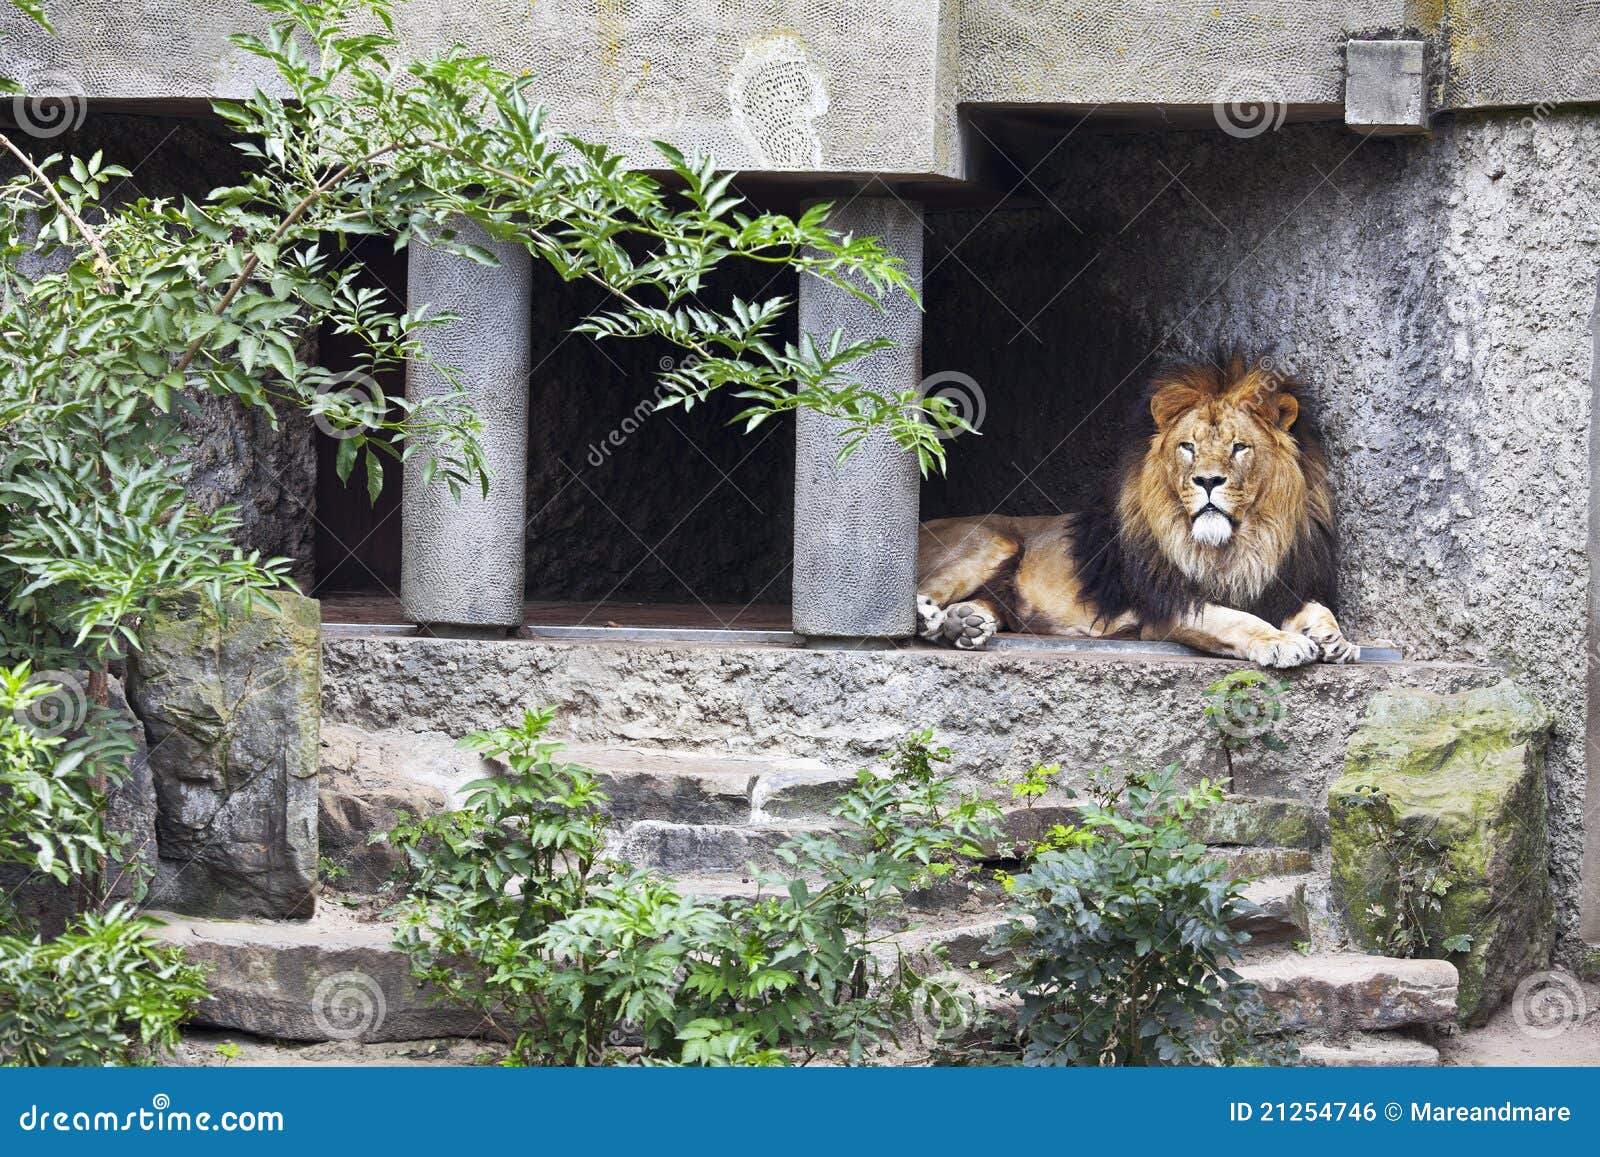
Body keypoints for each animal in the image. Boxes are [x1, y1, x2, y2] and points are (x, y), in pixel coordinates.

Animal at [915, 354, 1354, 667]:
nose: (1207, 481)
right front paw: (1282, 642)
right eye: (1188, 447)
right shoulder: (1168, 608)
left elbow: (1317, 607)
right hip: (995, 539)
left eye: (1239, 447)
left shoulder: (1278, 589)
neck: (1239, 546)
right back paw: (926, 617)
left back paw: (966, 623)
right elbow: (1236, 620)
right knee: (923, 589)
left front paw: (1335, 639)